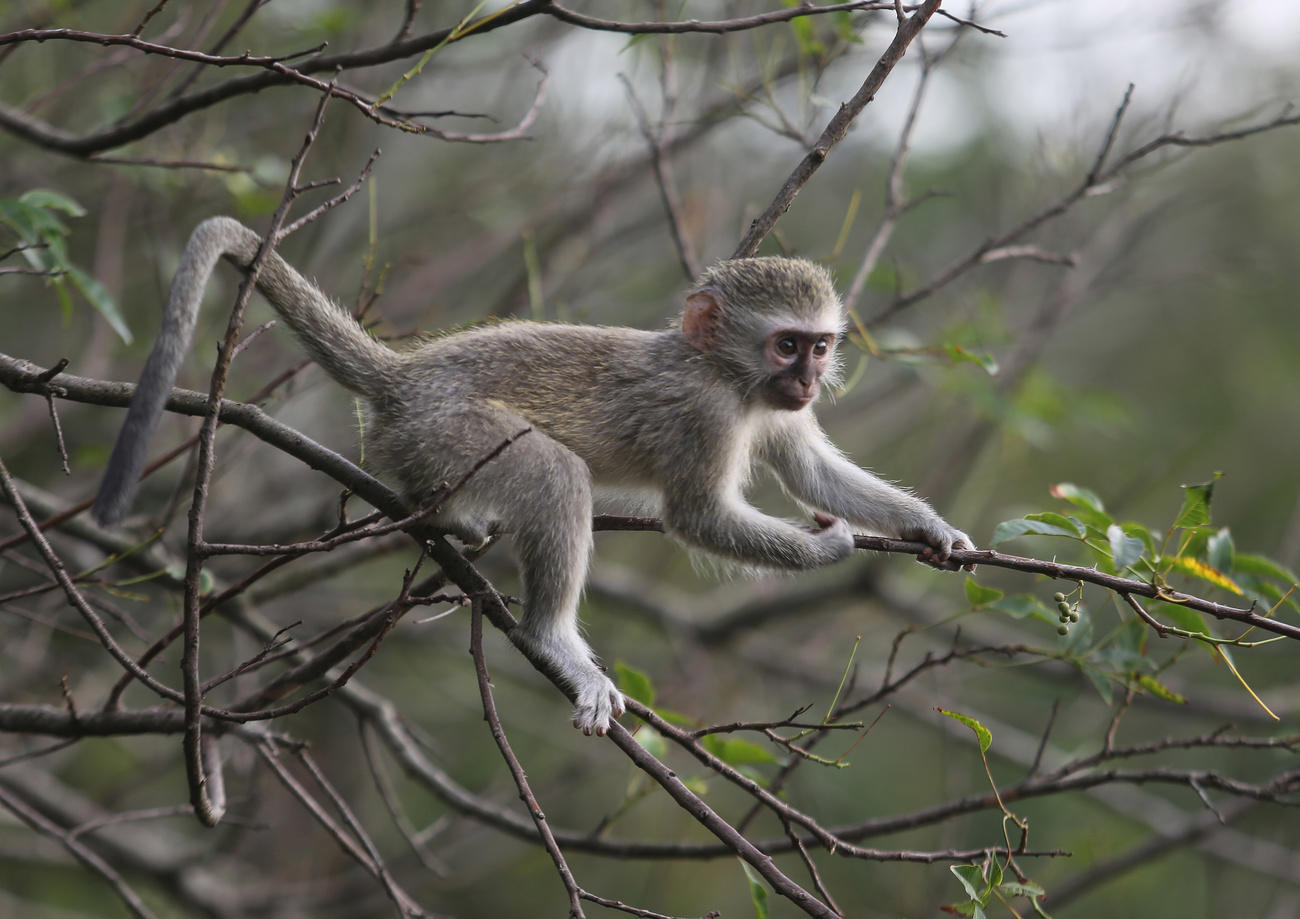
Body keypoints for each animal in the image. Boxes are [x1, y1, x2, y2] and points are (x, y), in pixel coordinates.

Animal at [94, 217, 974, 736]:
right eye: (786, 344)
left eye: (819, 346)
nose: (809, 377)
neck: (725, 373)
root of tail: (403, 379)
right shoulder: (705, 415)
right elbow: (696, 517)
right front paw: (829, 550)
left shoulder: (772, 411)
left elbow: (816, 470)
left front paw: (930, 528)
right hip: (449, 430)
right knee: (553, 472)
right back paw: (552, 637)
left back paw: (448, 519)